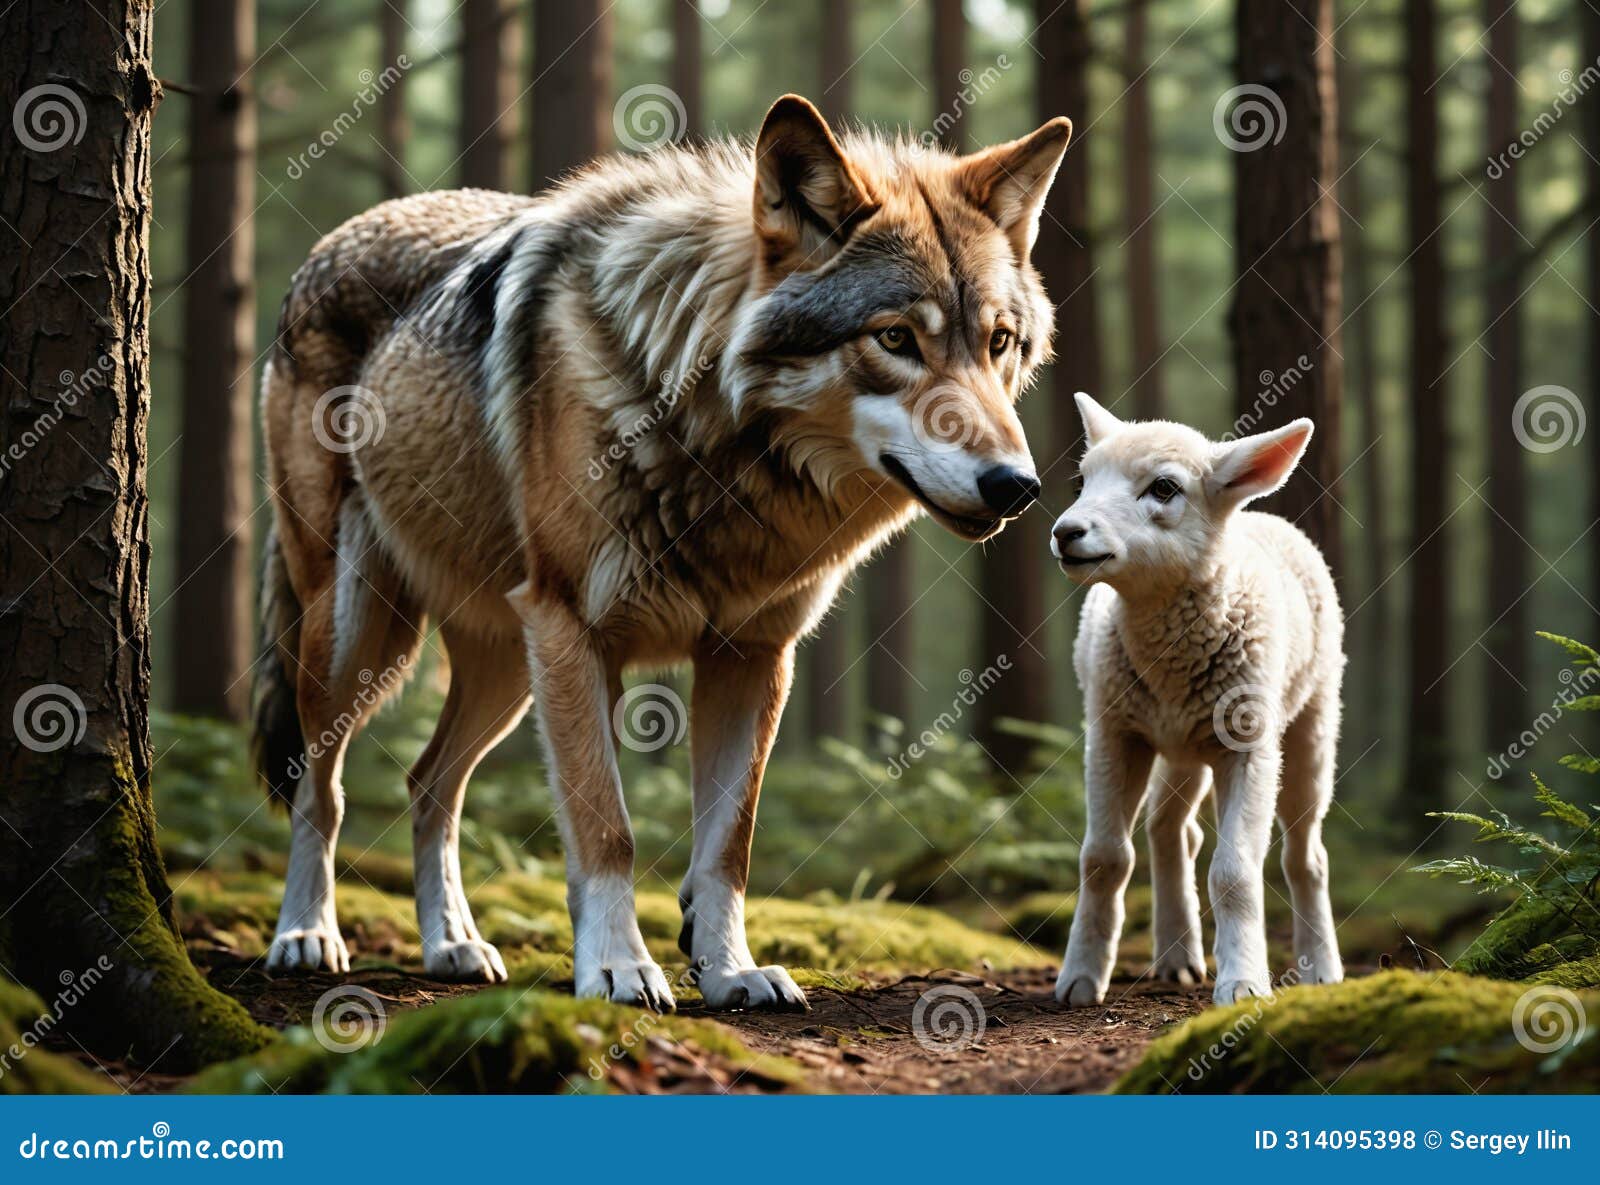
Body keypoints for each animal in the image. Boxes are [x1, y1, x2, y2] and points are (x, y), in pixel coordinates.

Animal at [252, 95, 1072, 1010]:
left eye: (999, 342)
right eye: (895, 338)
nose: (1017, 486)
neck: (713, 448)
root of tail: (333, 237)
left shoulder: (752, 654)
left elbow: (728, 845)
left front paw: (730, 968)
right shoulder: (574, 632)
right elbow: (607, 829)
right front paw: (618, 966)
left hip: (504, 667)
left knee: (431, 783)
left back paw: (454, 944)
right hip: (360, 634)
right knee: (320, 787)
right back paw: (305, 933)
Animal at [1048, 392, 1345, 1007]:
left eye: (1164, 488)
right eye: (1083, 480)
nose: (1066, 531)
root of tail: (1260, 514)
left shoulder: (1250, 746)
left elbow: (1235, 870)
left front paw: (1243, 985)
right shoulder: (1113, 731)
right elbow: (1103, 859)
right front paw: (1081, 977)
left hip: (1313, 720)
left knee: (1306, 853)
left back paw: (1321, 966)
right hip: (1180, 744)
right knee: (1171, 829)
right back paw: (1178, 955)